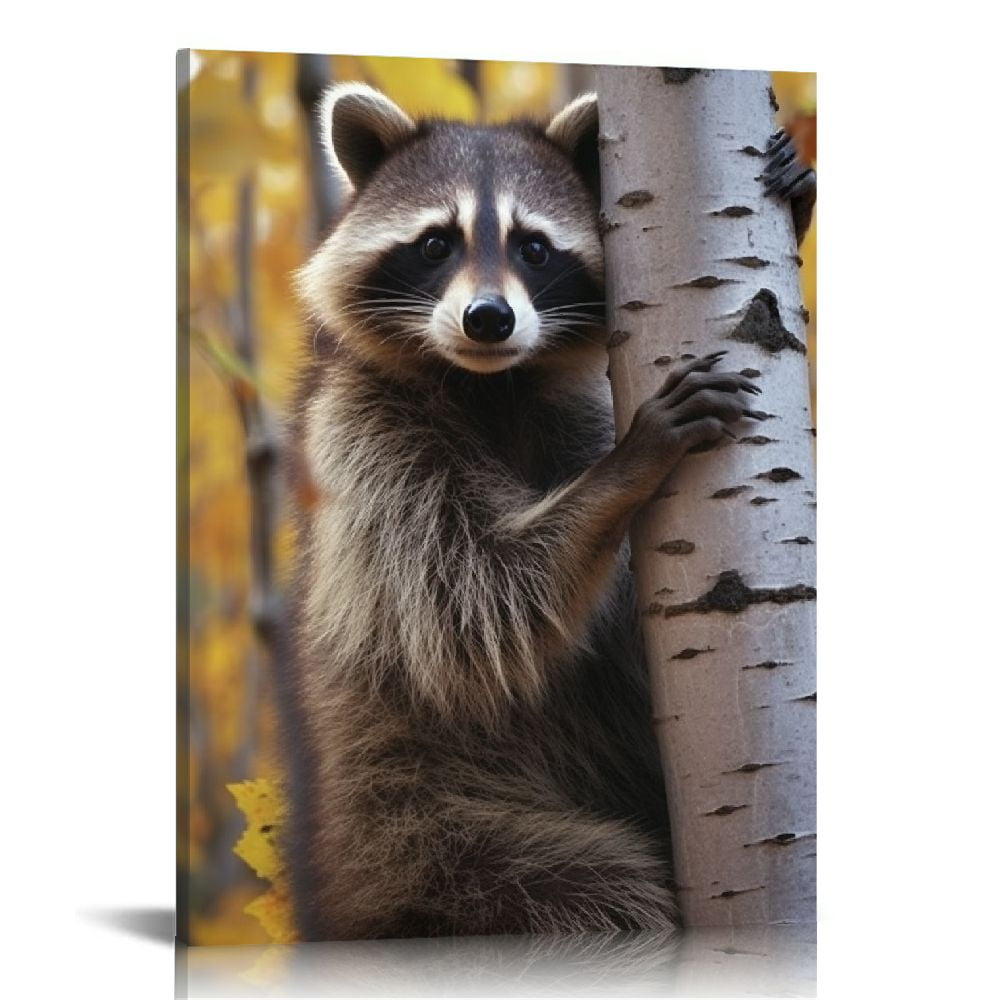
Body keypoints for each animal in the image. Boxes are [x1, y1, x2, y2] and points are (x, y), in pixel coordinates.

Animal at [279, 83, 814, 941]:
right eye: (435, 243)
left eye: (534, 248)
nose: (488, 318)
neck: (493, 383)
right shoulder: (360, 443)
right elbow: (471, 599)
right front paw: (623, 469)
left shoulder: (571, 404)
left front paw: (796, 206)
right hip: (434, 827)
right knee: (600, 907)